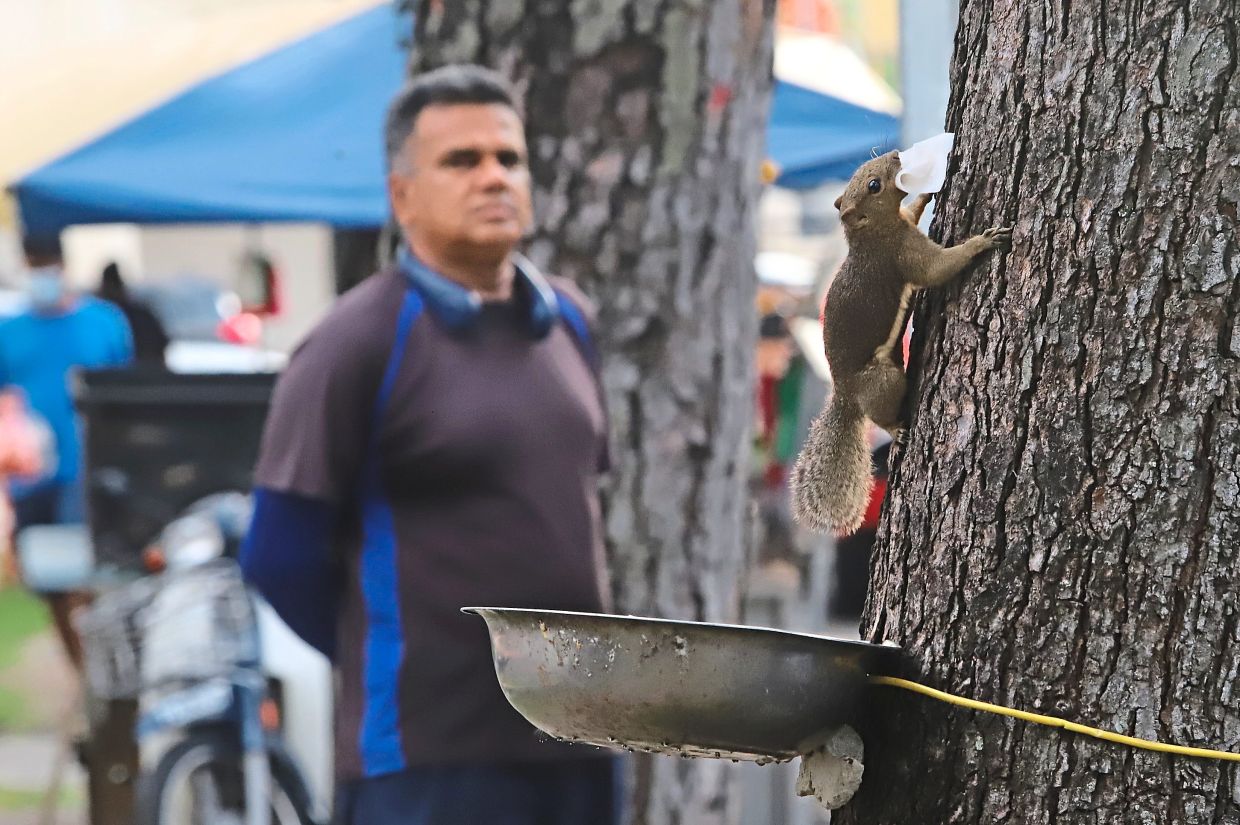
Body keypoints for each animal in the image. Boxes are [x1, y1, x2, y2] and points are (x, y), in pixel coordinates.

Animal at [788, 150, 1011, 535]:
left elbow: (913, 212)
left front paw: (925, 195)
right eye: (874, 185)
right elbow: (936, 268)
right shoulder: (902, 253)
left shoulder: (904, 224)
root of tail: (846, 395)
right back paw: (895, 429)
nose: (895, 154)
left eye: (866, 173)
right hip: (885, 380)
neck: (870, 232)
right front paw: (981, 242)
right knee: (879, 413)